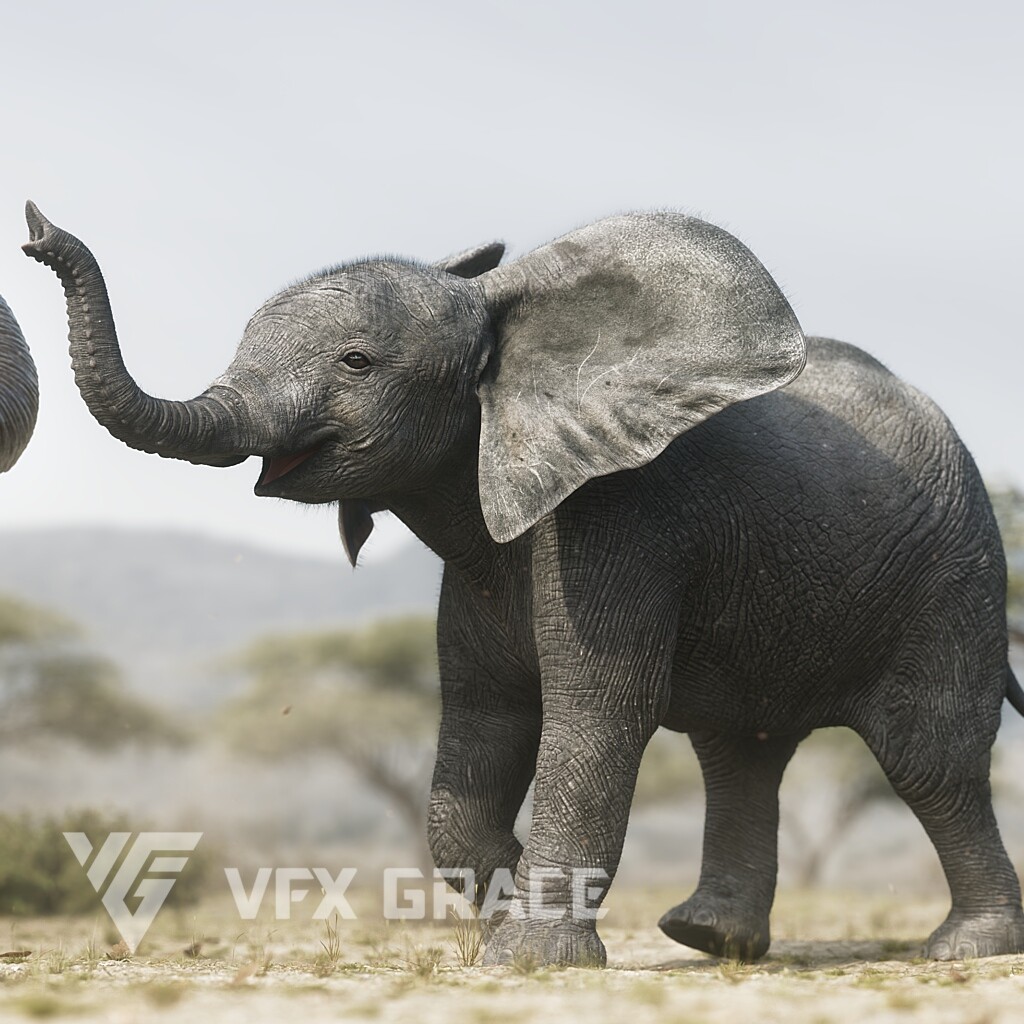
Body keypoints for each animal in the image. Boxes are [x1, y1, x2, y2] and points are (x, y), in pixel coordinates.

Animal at [24, 200, 1024, 966]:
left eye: (356, 363)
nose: (35, 230)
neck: (496, 318)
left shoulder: (620, 514)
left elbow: (598, 711)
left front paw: (530, 956)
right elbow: (484, 719)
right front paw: (507, 902)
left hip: (956, 574)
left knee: (926, 756)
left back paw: (965, 950)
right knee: (740, 751)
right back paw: (711, 941)